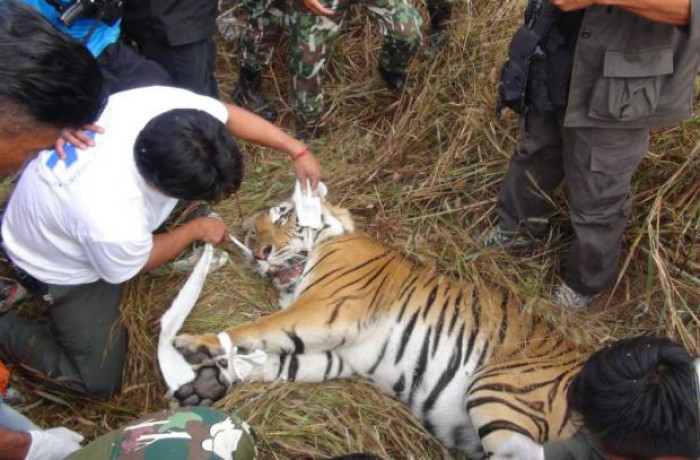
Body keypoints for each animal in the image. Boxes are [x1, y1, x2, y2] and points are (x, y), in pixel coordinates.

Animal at [173, 191, 590, 459]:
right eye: (251, 233)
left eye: (282, 216)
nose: (260, 253)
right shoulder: (338, 354)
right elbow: (276, 359)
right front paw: (206, 384)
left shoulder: (325, 309)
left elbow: (257, 329)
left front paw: (192, 342)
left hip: (499, 391)